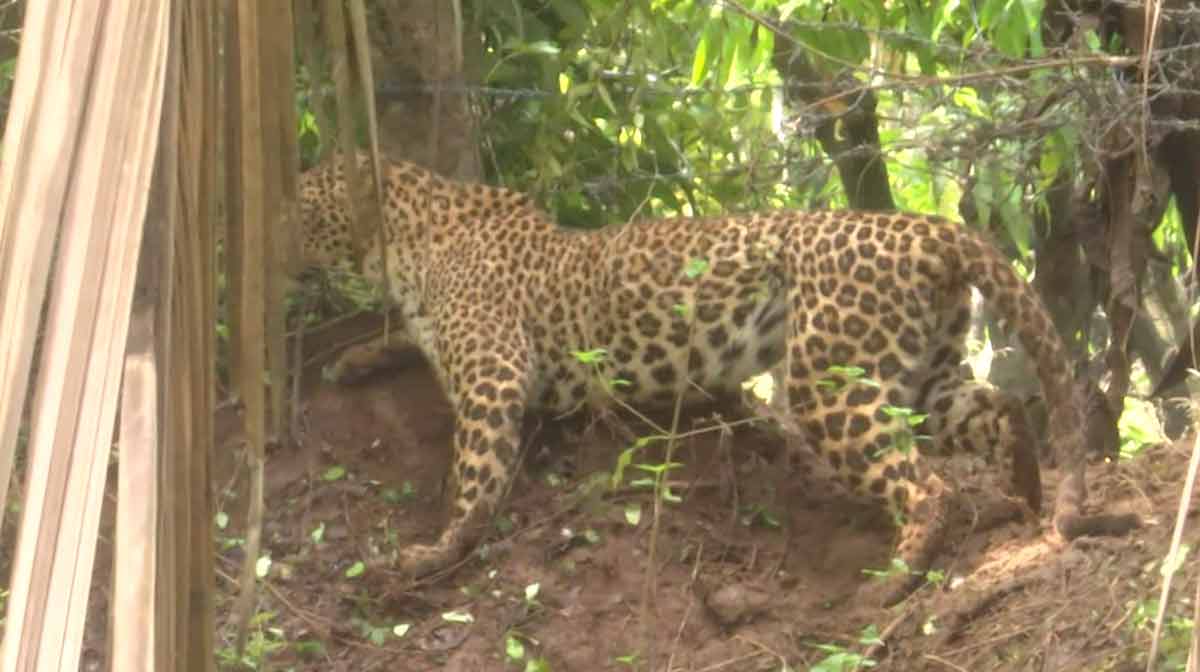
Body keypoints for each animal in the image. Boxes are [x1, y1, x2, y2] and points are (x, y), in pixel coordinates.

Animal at [294, 153, 1138, 604]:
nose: (272, 224)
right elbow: (396, 336)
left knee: (929, 484)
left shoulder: (497, 376)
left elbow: (474, 475)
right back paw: (1022, 497)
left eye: (303, 201)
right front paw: (353, 357)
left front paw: (435, 553)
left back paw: (893, 580)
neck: (409, 237)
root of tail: (927, 226)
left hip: (829, 382)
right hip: (920, 373)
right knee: (1000, 409)